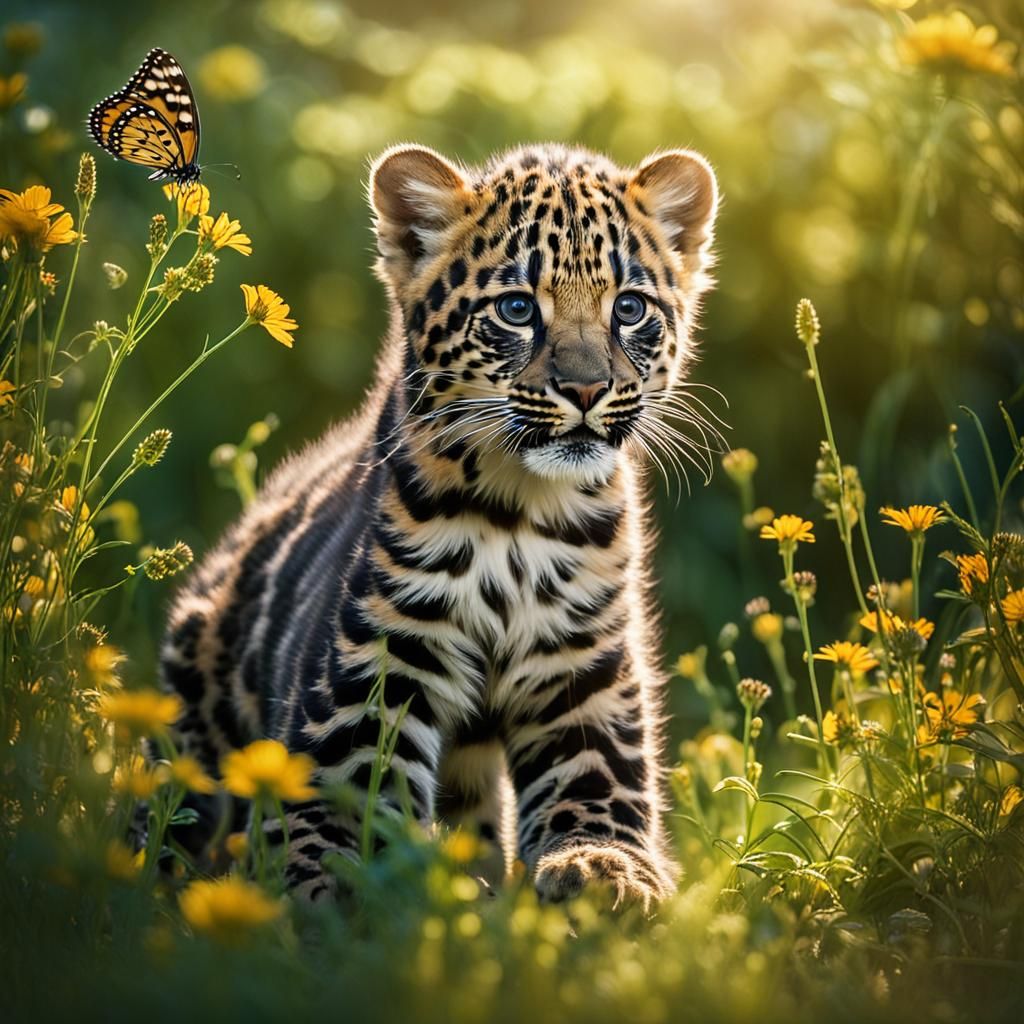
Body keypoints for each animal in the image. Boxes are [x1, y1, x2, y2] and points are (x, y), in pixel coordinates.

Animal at [160, 141, 719, 909]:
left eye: (629, 309)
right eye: (517, 308)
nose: (585, 390)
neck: (519, 514)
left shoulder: (584, 676)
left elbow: (596, 795)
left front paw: (605, 871)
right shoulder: (370, 678)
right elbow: (334, 818)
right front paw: (339, 901)